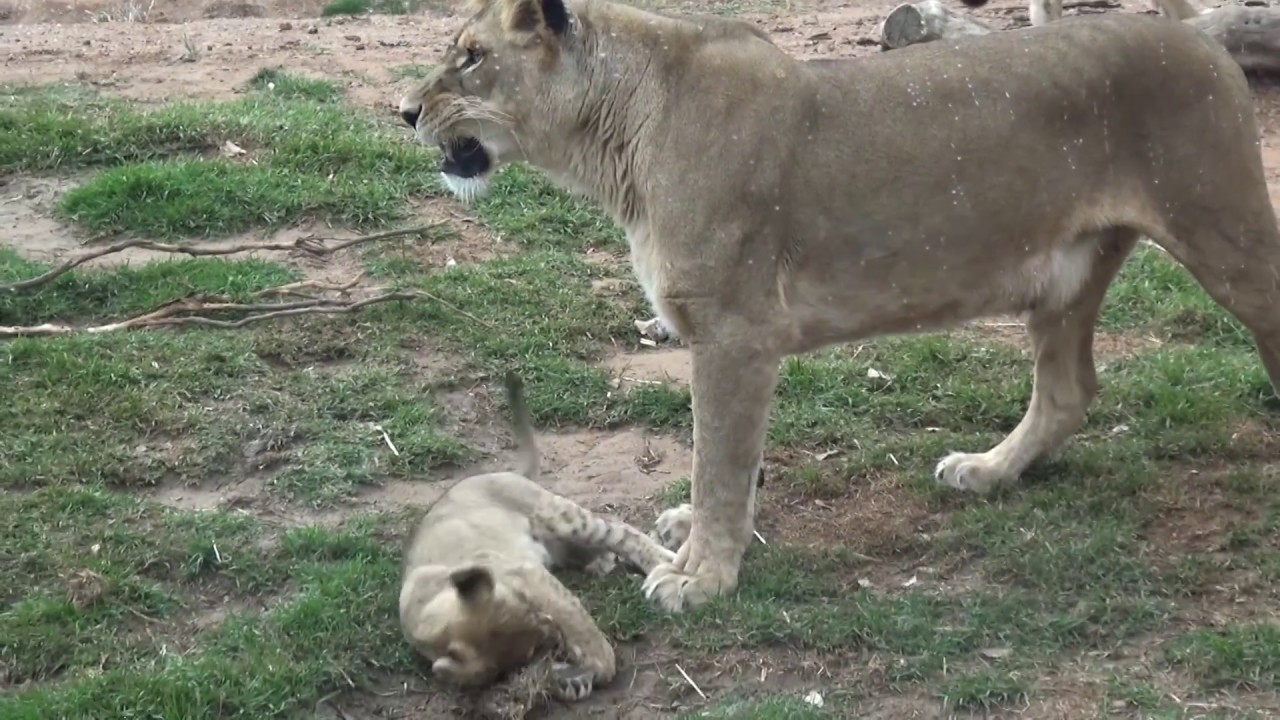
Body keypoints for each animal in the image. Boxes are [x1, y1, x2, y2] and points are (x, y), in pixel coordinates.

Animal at [397, 1, 1280, 614]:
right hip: (1070, 275)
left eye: (471, 57)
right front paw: (707, 542)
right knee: (1068, 392)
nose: (404, 112)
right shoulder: (738, 339)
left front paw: (701, 578)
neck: (614, 140)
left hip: (1225, 230)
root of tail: (1202, 39)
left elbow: (717, 457)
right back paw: (987, 472)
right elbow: (736, 459)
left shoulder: (735, 329)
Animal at [398, 371, 684, 700]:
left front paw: (596, 666)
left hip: (559, 515)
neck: (426, 606)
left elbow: (580, 623)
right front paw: (570, 678)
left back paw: (663, 561)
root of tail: (507, 473)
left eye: (533, 611)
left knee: (621, 532)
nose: (554, 638)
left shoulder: (530, 576)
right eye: (531, 649)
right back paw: (600, 561)